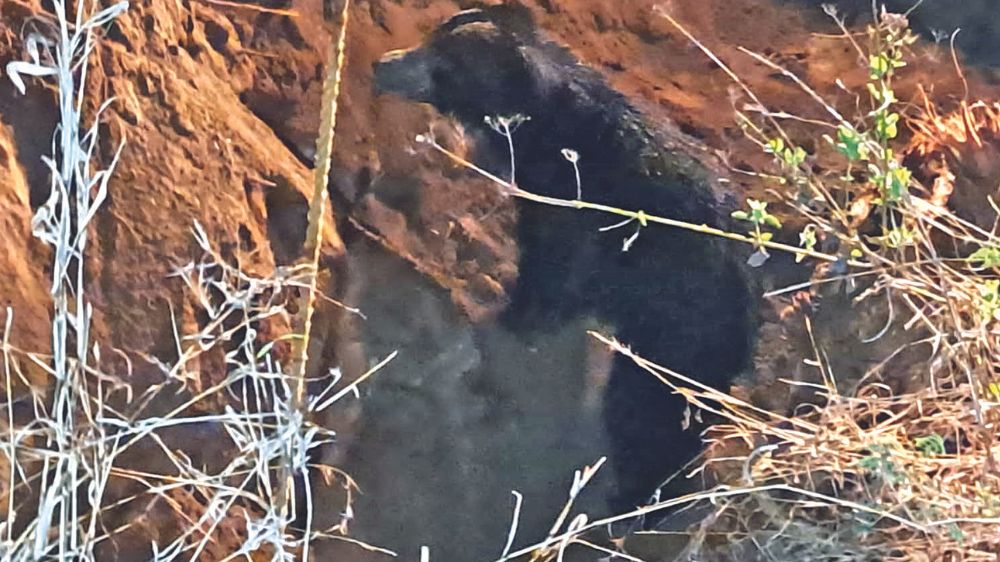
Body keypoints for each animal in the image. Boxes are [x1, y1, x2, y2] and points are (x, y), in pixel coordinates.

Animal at [373, 4, 757, 518]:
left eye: (443, 64)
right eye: (428, 40)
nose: (382, 64)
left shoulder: (569, 198)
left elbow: (553, 264)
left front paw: (516, 317)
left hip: (677, 338)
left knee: (645, 412)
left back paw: (636, 500)